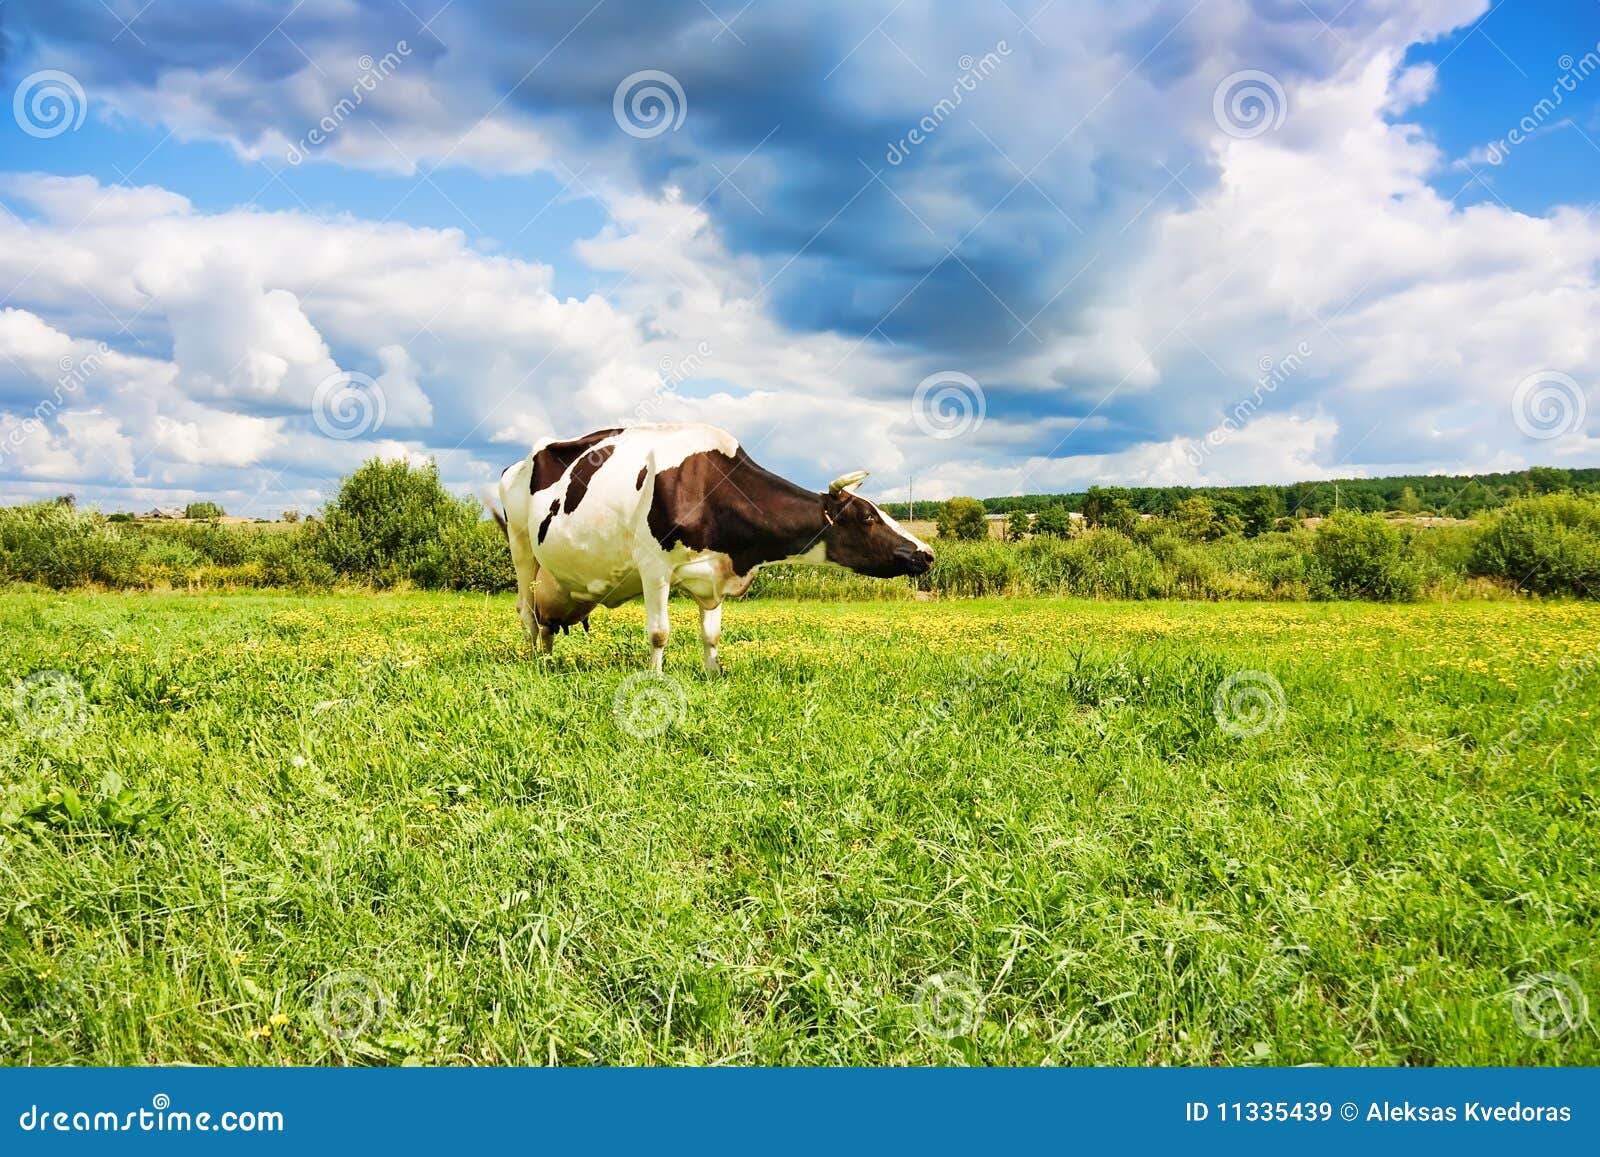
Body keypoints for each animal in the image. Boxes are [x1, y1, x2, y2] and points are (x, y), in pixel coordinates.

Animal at [491, 423, 933, 674]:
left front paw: (712, 674)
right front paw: (656, 679)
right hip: (521, 548)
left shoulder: (714, 575)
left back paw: (548, 660)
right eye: (867, 516)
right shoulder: (654, 568)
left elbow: (712, 634)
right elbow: (659, 633)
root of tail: (516, 463)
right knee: (527, 614)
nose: (926, 553)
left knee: (546, 622)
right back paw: (532, 662)